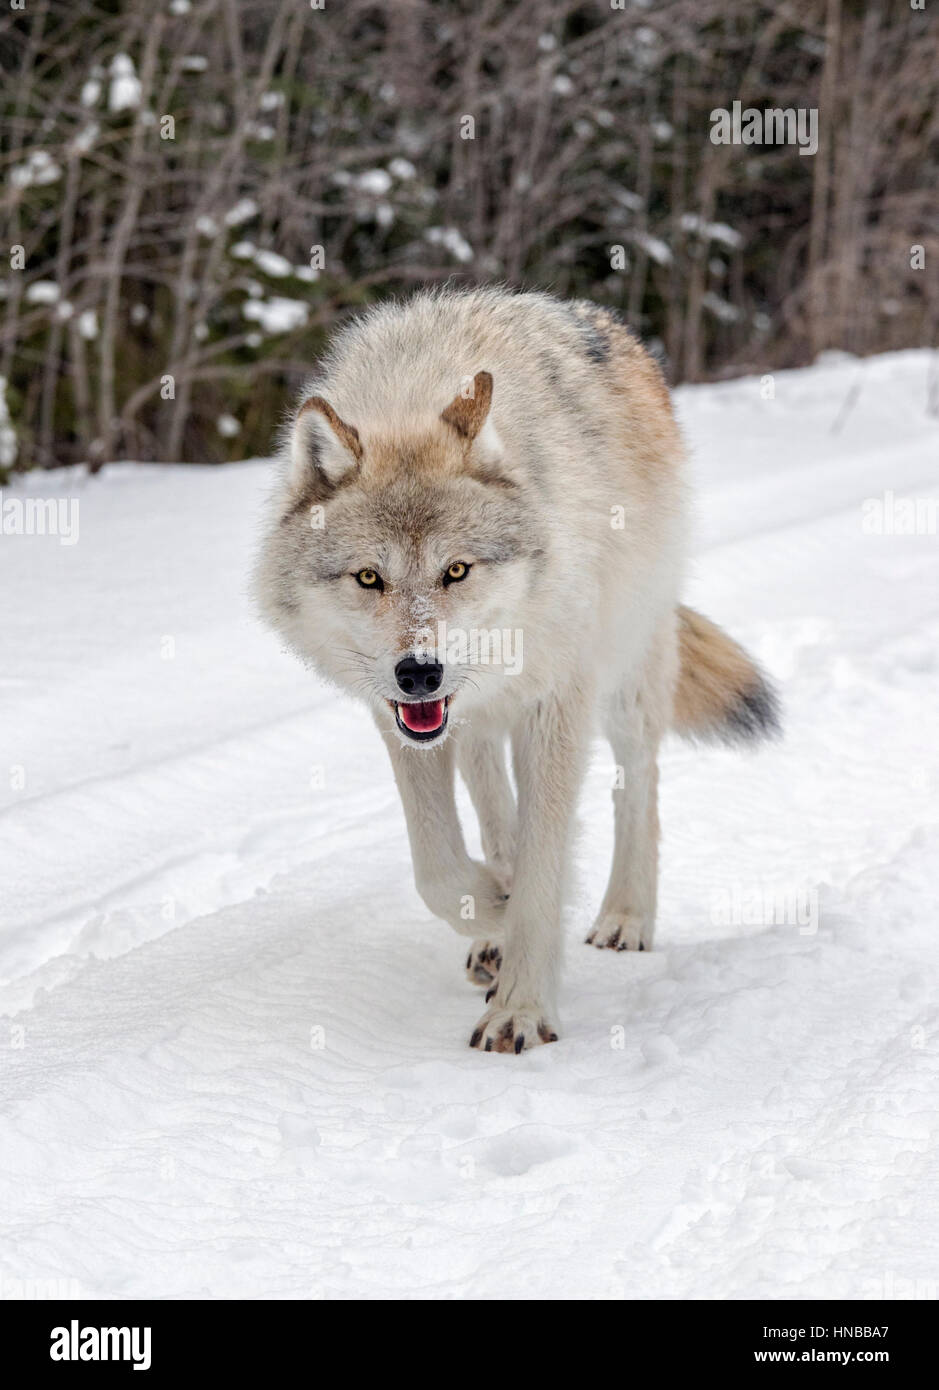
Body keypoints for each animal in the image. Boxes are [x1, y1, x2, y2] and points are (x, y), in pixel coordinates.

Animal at [254, 287, 779, 1053]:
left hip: (625, 674)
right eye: (369, 577)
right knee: (494, 810)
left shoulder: (556, 706)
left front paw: (521, 1009)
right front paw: (492, 913)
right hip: (477, 721)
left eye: (456, 571)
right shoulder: (400, 722)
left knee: (638, 786)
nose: (419, 673)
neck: (410, 392)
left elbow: (541, 871)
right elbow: (437, 866)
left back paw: (625, 917)